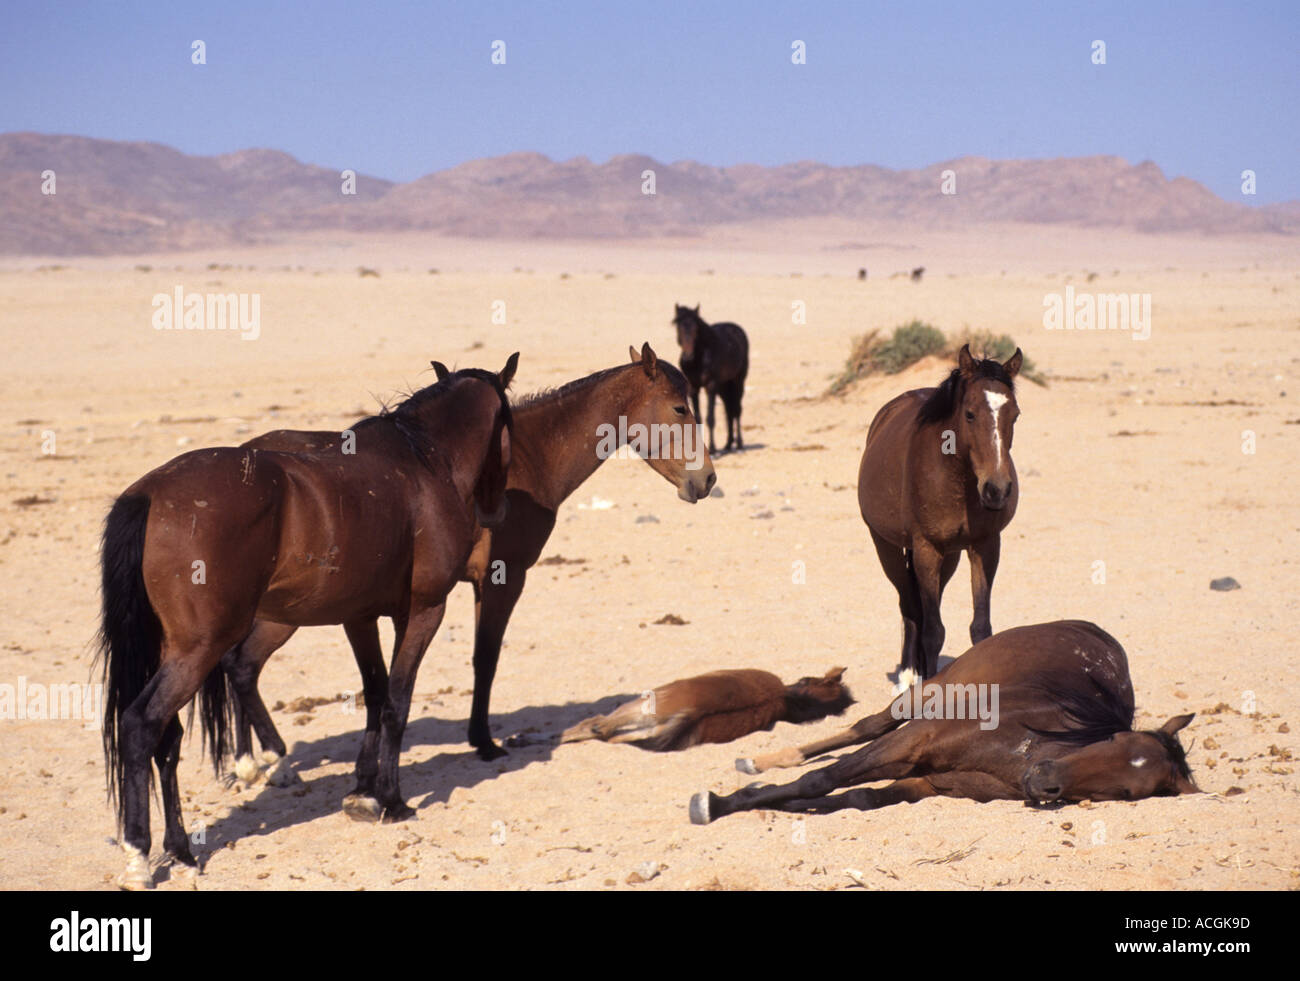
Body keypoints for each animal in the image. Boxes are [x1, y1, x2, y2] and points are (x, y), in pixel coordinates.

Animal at [96, 356, 517, 889]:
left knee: (168, 737)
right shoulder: (423, 611)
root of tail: (149, 493)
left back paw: (182, 849)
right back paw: (139, 856)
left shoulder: (360, 616)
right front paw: (391, 800)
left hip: (182, 649)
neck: (424, 463)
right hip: (200, 650)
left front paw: (364, 790)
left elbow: (375, 695)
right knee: (141, 725)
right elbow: (396, 702)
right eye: (509, 423)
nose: (497, 509)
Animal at [221, 343, 718, 789]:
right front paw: (482, 741)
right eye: (679, 408)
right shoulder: (502, 580)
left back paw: (247, 765)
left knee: (234, 666)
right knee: (242, 665)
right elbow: (485, 658)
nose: (707, 479)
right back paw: (268, 763)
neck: (524, 458)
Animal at [672, 303, 749, 454]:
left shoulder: (711, 386)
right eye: (679, 327)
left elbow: (710, 418)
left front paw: (712, 449)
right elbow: (698, 418)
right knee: (729, 410)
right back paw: (728, 444)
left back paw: (739, 444)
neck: (699, 359)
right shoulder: (693, 388)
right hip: (724, 386)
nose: (687, 357)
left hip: (738, 381)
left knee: (737, 410)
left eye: (696, 328)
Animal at [690, 620, 1198, 823]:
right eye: (1113, 739)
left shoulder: (927, 782)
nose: (1043, 781)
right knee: (867, 726)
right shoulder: (917, 739)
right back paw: (765, 761)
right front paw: (716, 803)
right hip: (929, 693)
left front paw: (777, 803)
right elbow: (823, 778)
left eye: (1127, 792)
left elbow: (855, 798)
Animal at [859, 344, 1023, 684]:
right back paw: (909, 675)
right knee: (909, 606)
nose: (997, 489)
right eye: (970, 413)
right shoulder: (926, 549)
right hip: (887, 548)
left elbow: (980, 627)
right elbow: (933, 632)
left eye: (1015, 415)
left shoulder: (985, 546)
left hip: (950, 557)